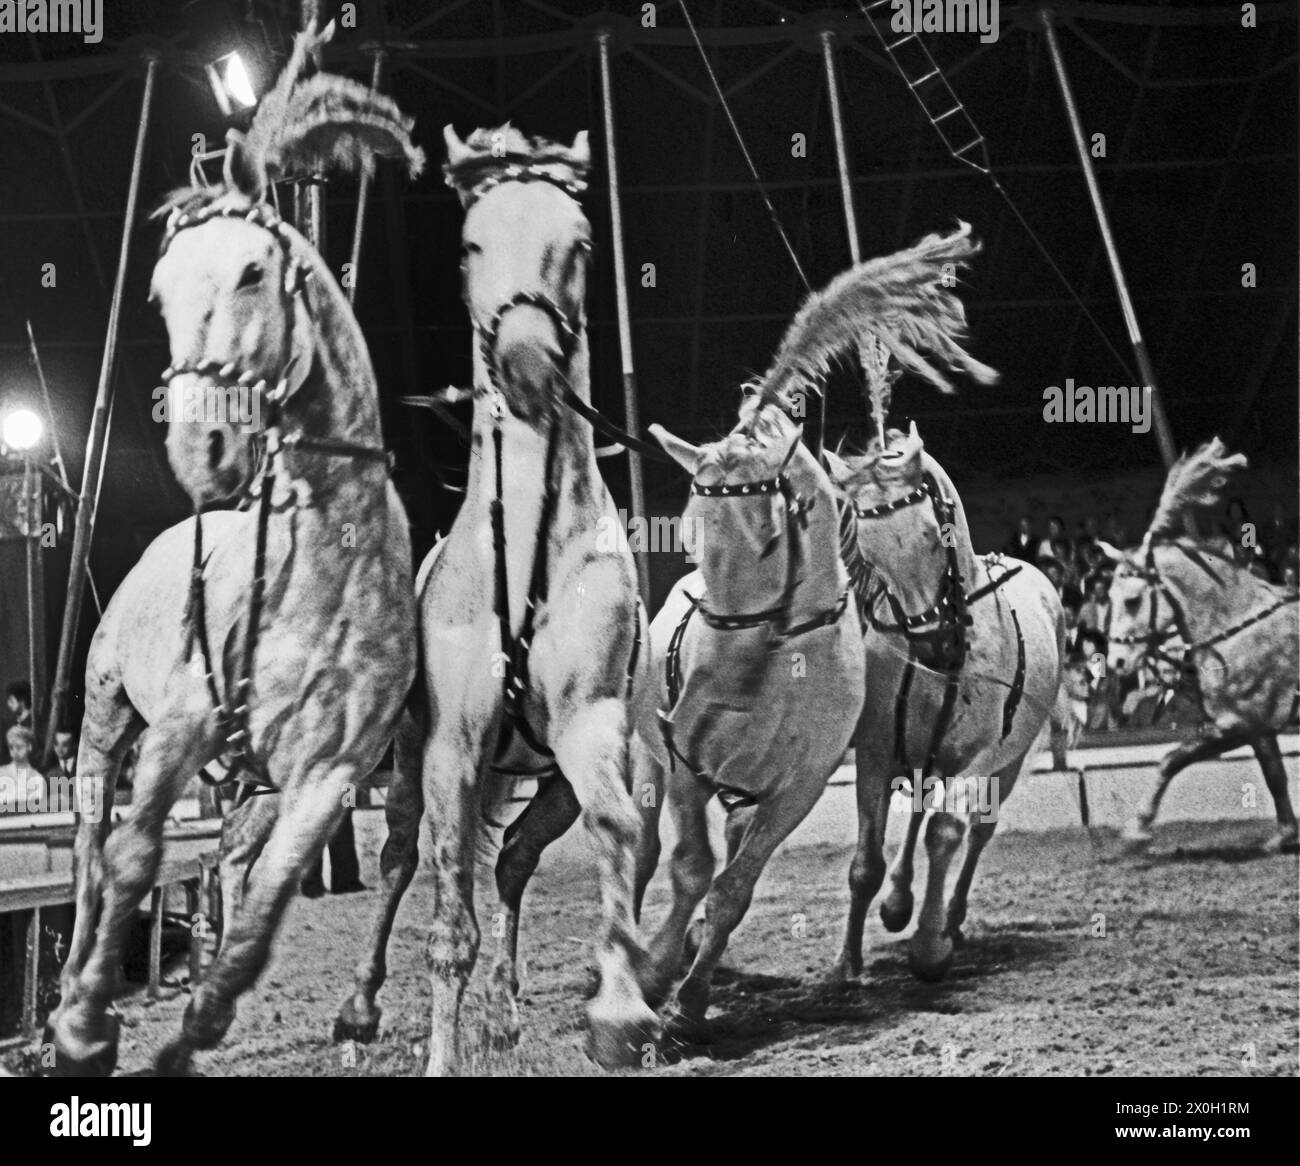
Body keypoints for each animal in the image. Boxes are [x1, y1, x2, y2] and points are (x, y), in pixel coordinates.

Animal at [46, 26, 423, 1076]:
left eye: (254, 273)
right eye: (160, 289)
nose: (201, 449)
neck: (321, 565)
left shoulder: (328, 777)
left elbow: (260, 921)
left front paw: (194, 1028)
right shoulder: (182, 718)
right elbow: (136, 853)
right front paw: (85, 1024)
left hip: (264, 784)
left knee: (251, 863)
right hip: (105, 722)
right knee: (91, 847)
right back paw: (72, 988)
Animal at [334, 125, 658, 1075]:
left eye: (580, 243)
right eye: (470, 247)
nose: (525, 368)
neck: (528, 553)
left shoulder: (591, 728)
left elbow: (619, 827)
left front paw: (620, 1012)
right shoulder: (453, 747)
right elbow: (448, 920)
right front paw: (442, 1052)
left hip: (546, 785)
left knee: (514, 859)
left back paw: (507, 1012)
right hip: (410, 766)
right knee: (399, 857)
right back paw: (362, 1008)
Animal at [633, 397, 865, 1038]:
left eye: (767, 537)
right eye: (688, 534)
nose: (704, 700)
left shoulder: (799, 788)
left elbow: (732, 889)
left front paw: (689, 1005)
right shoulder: (685, 767)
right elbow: (691, 870)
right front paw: (656, 975)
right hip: (650, 759)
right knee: (641, 854)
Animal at [826, 424, 1064, 980]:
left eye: (936, 537)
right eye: (870, 556)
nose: (936, 646)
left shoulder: (981, 757)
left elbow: (946, 830)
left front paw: (930, 947)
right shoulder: (876, 752)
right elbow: (866, 863)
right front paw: (849, 961)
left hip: (1007, 764)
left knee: (977, 832)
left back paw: (951, 919)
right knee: (917, 809)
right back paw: (898, 903)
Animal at [1106, 438, 1299, 853]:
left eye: (1132, 600)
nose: (1115, 662)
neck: (1234, 627)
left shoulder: (1236, 725)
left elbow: (1172, 759)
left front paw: (1137, 828)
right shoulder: (1258, 728)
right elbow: (1275, 775)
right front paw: (1285, 834)